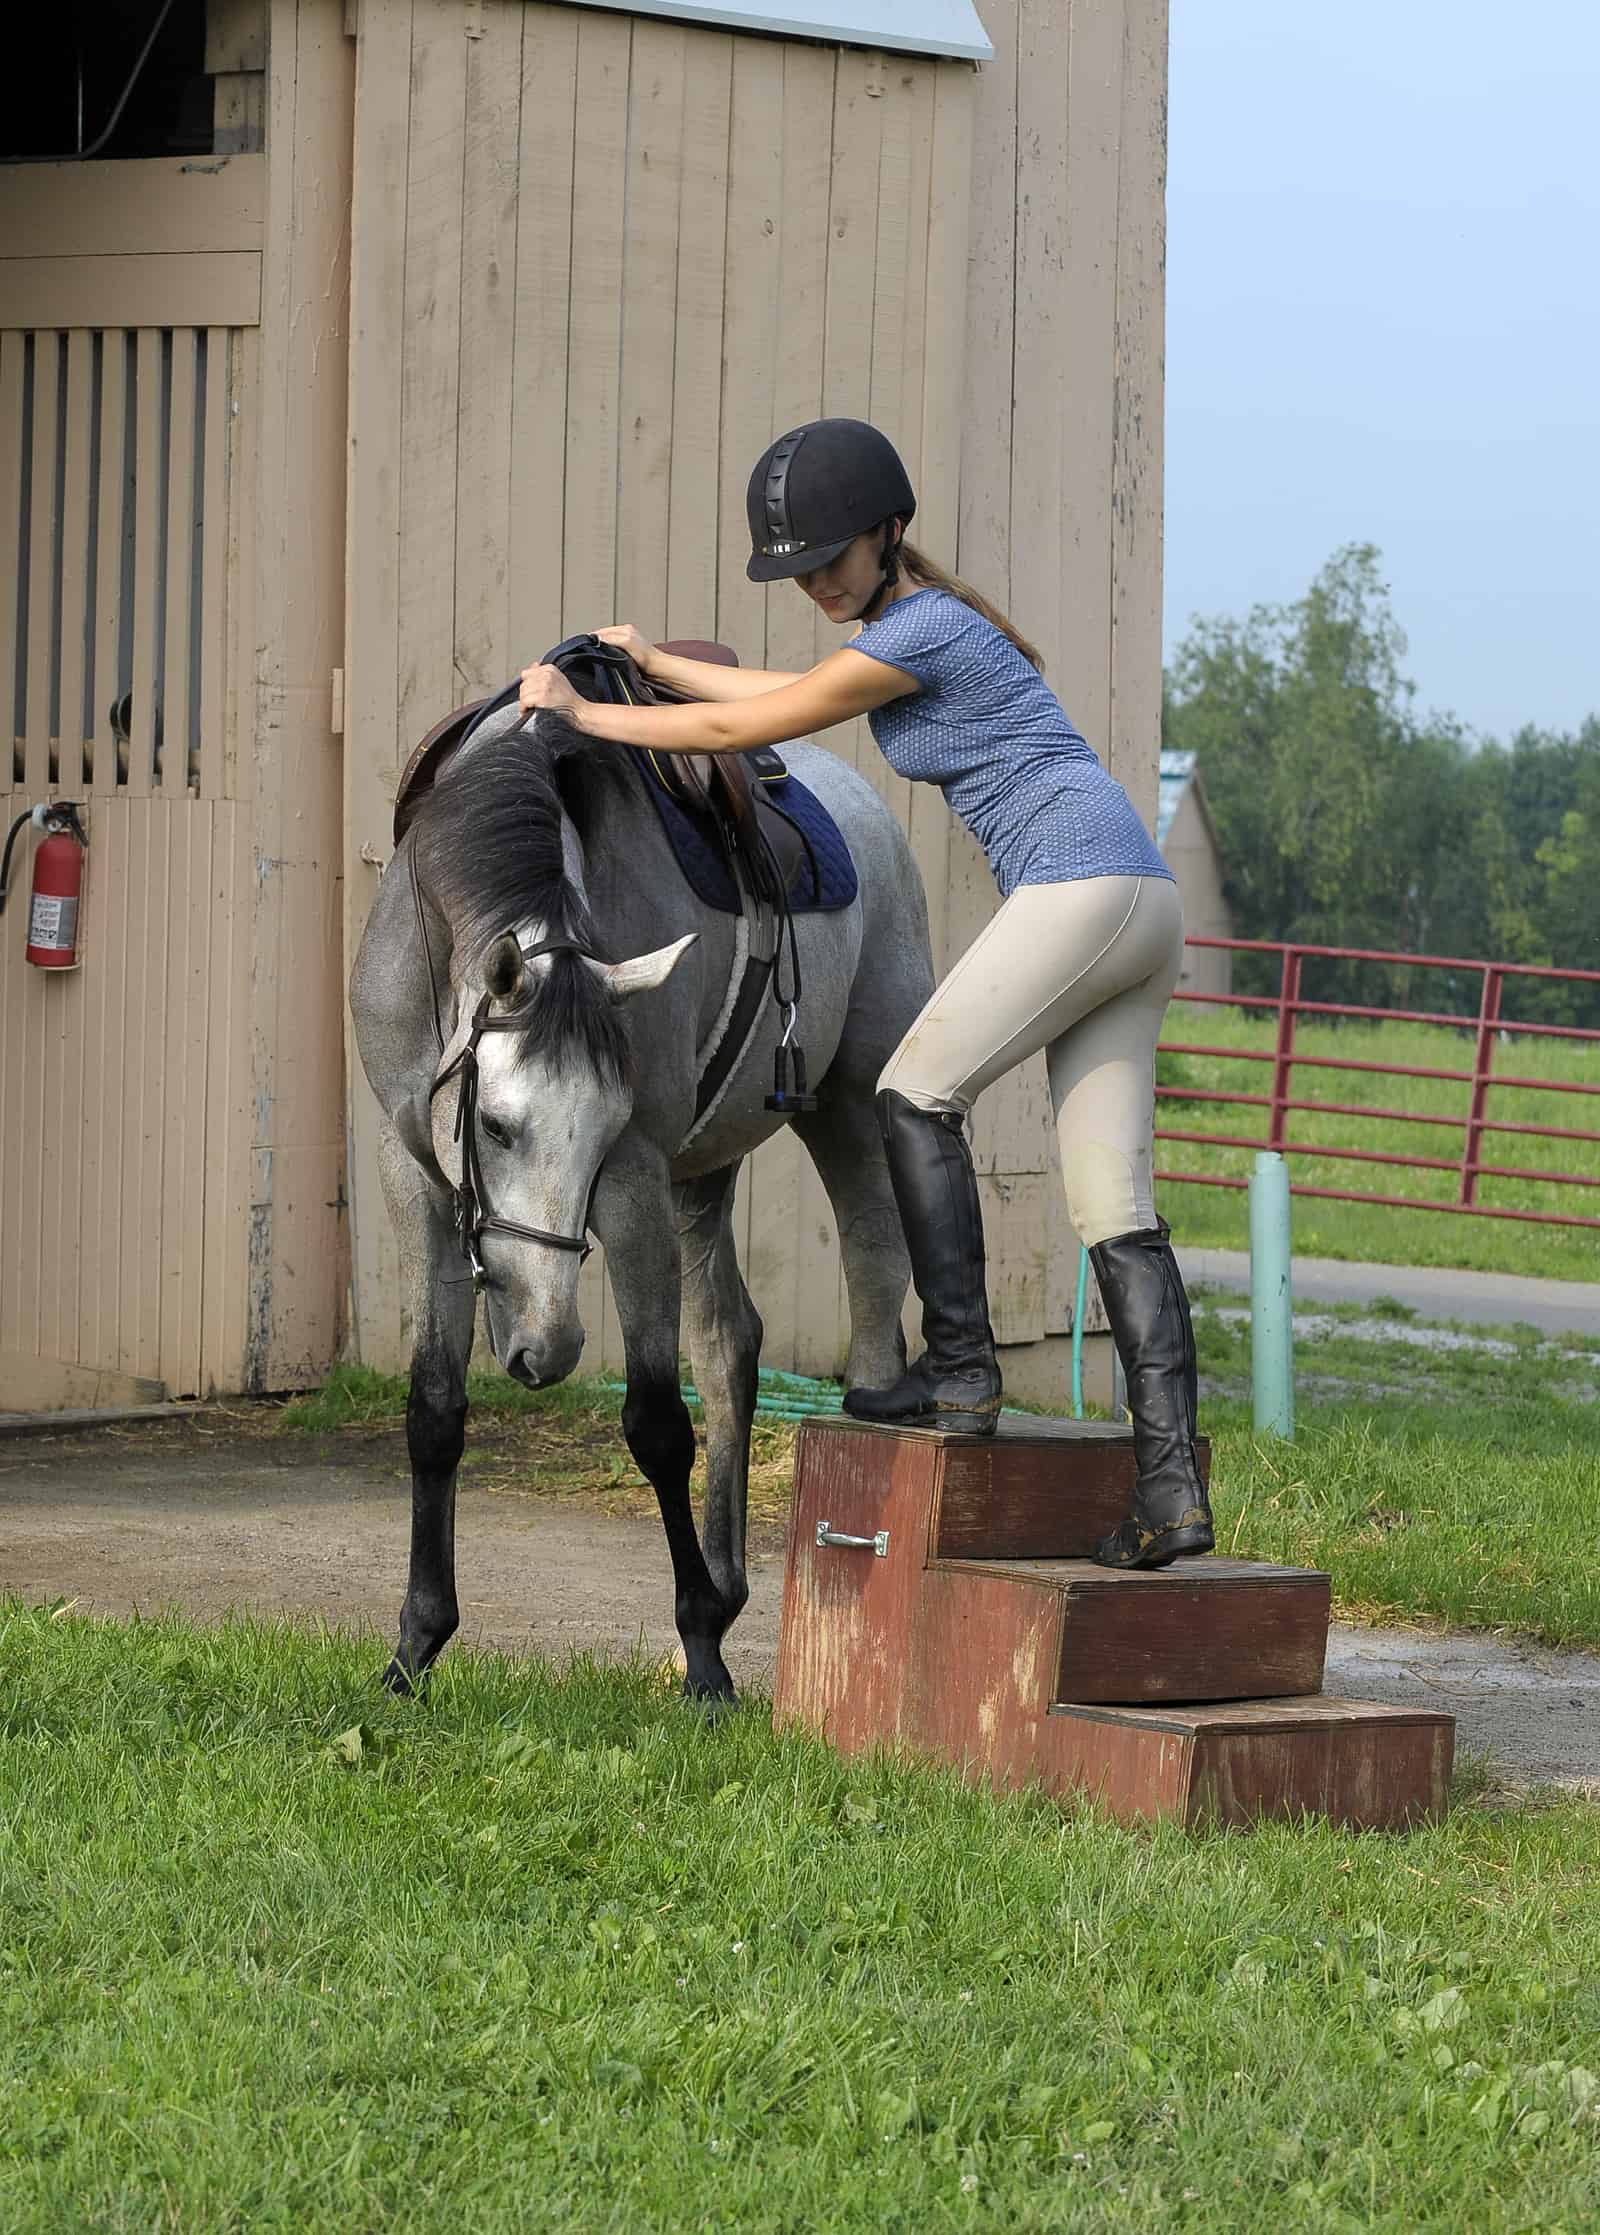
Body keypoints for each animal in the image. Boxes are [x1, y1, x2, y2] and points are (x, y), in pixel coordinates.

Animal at [348, 693, 937, 1704]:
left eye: (600, 1131)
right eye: (495, 1124)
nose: (550, 1348)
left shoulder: (631, 1178)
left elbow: (657, 1424)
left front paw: (703, 1655)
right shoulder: (412, 1172)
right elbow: (433, 1410)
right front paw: (415, 1646)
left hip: (850, 1106)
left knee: (870, 1261)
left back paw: (870, 1418)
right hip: (702, 1175)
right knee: (729, 1342)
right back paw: (729, 1581)